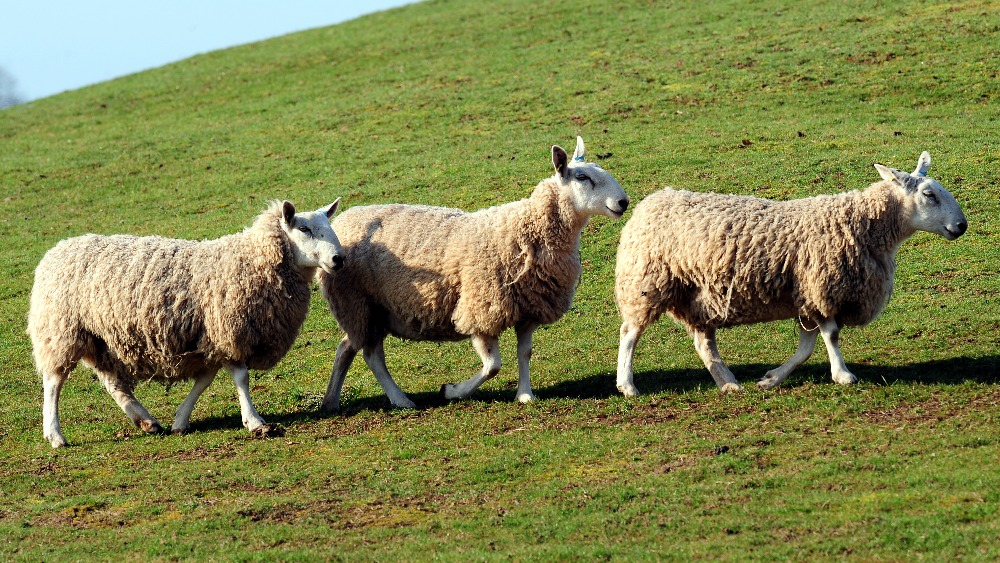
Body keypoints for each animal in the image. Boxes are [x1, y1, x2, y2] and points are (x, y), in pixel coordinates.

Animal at [28, 199, 344, 448]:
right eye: (303, 229)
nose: (338, 259)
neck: (255, 261)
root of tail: (57, 250)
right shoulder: (228, 330)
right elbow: (240, 378)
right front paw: (255, 421)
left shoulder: (210, 339)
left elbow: (204, 381)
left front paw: (180, 420)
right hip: (61, 331)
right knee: (53, 383)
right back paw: (55, 435)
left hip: (101, 339)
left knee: (112, 382)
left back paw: (146, 421)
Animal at [317, 137, 629, 411]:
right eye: (582, 178)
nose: (623, 202)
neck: (526, 230)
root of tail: (343, 219)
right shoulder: (481, 308)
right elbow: (492, 366)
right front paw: (452, 391)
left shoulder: (528, 308)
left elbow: (525, 353)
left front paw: (525, 395)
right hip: (358, 302)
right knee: (370, 354)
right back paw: (399, 399)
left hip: (372, 309)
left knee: (350, 348)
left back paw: (332, 401)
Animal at [614, 151, 968, 394]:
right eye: (929, 194)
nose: (961, 226)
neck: (865, 226)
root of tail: (653, 199)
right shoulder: (821, 286)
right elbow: (831, 335)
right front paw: (843, 375)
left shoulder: (808, 297)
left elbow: (806, 348)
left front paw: (771, 379)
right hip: (647, 282)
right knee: (629, 333)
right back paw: (627, 385)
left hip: (699, 297)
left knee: (704, 343)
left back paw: (729, 383)